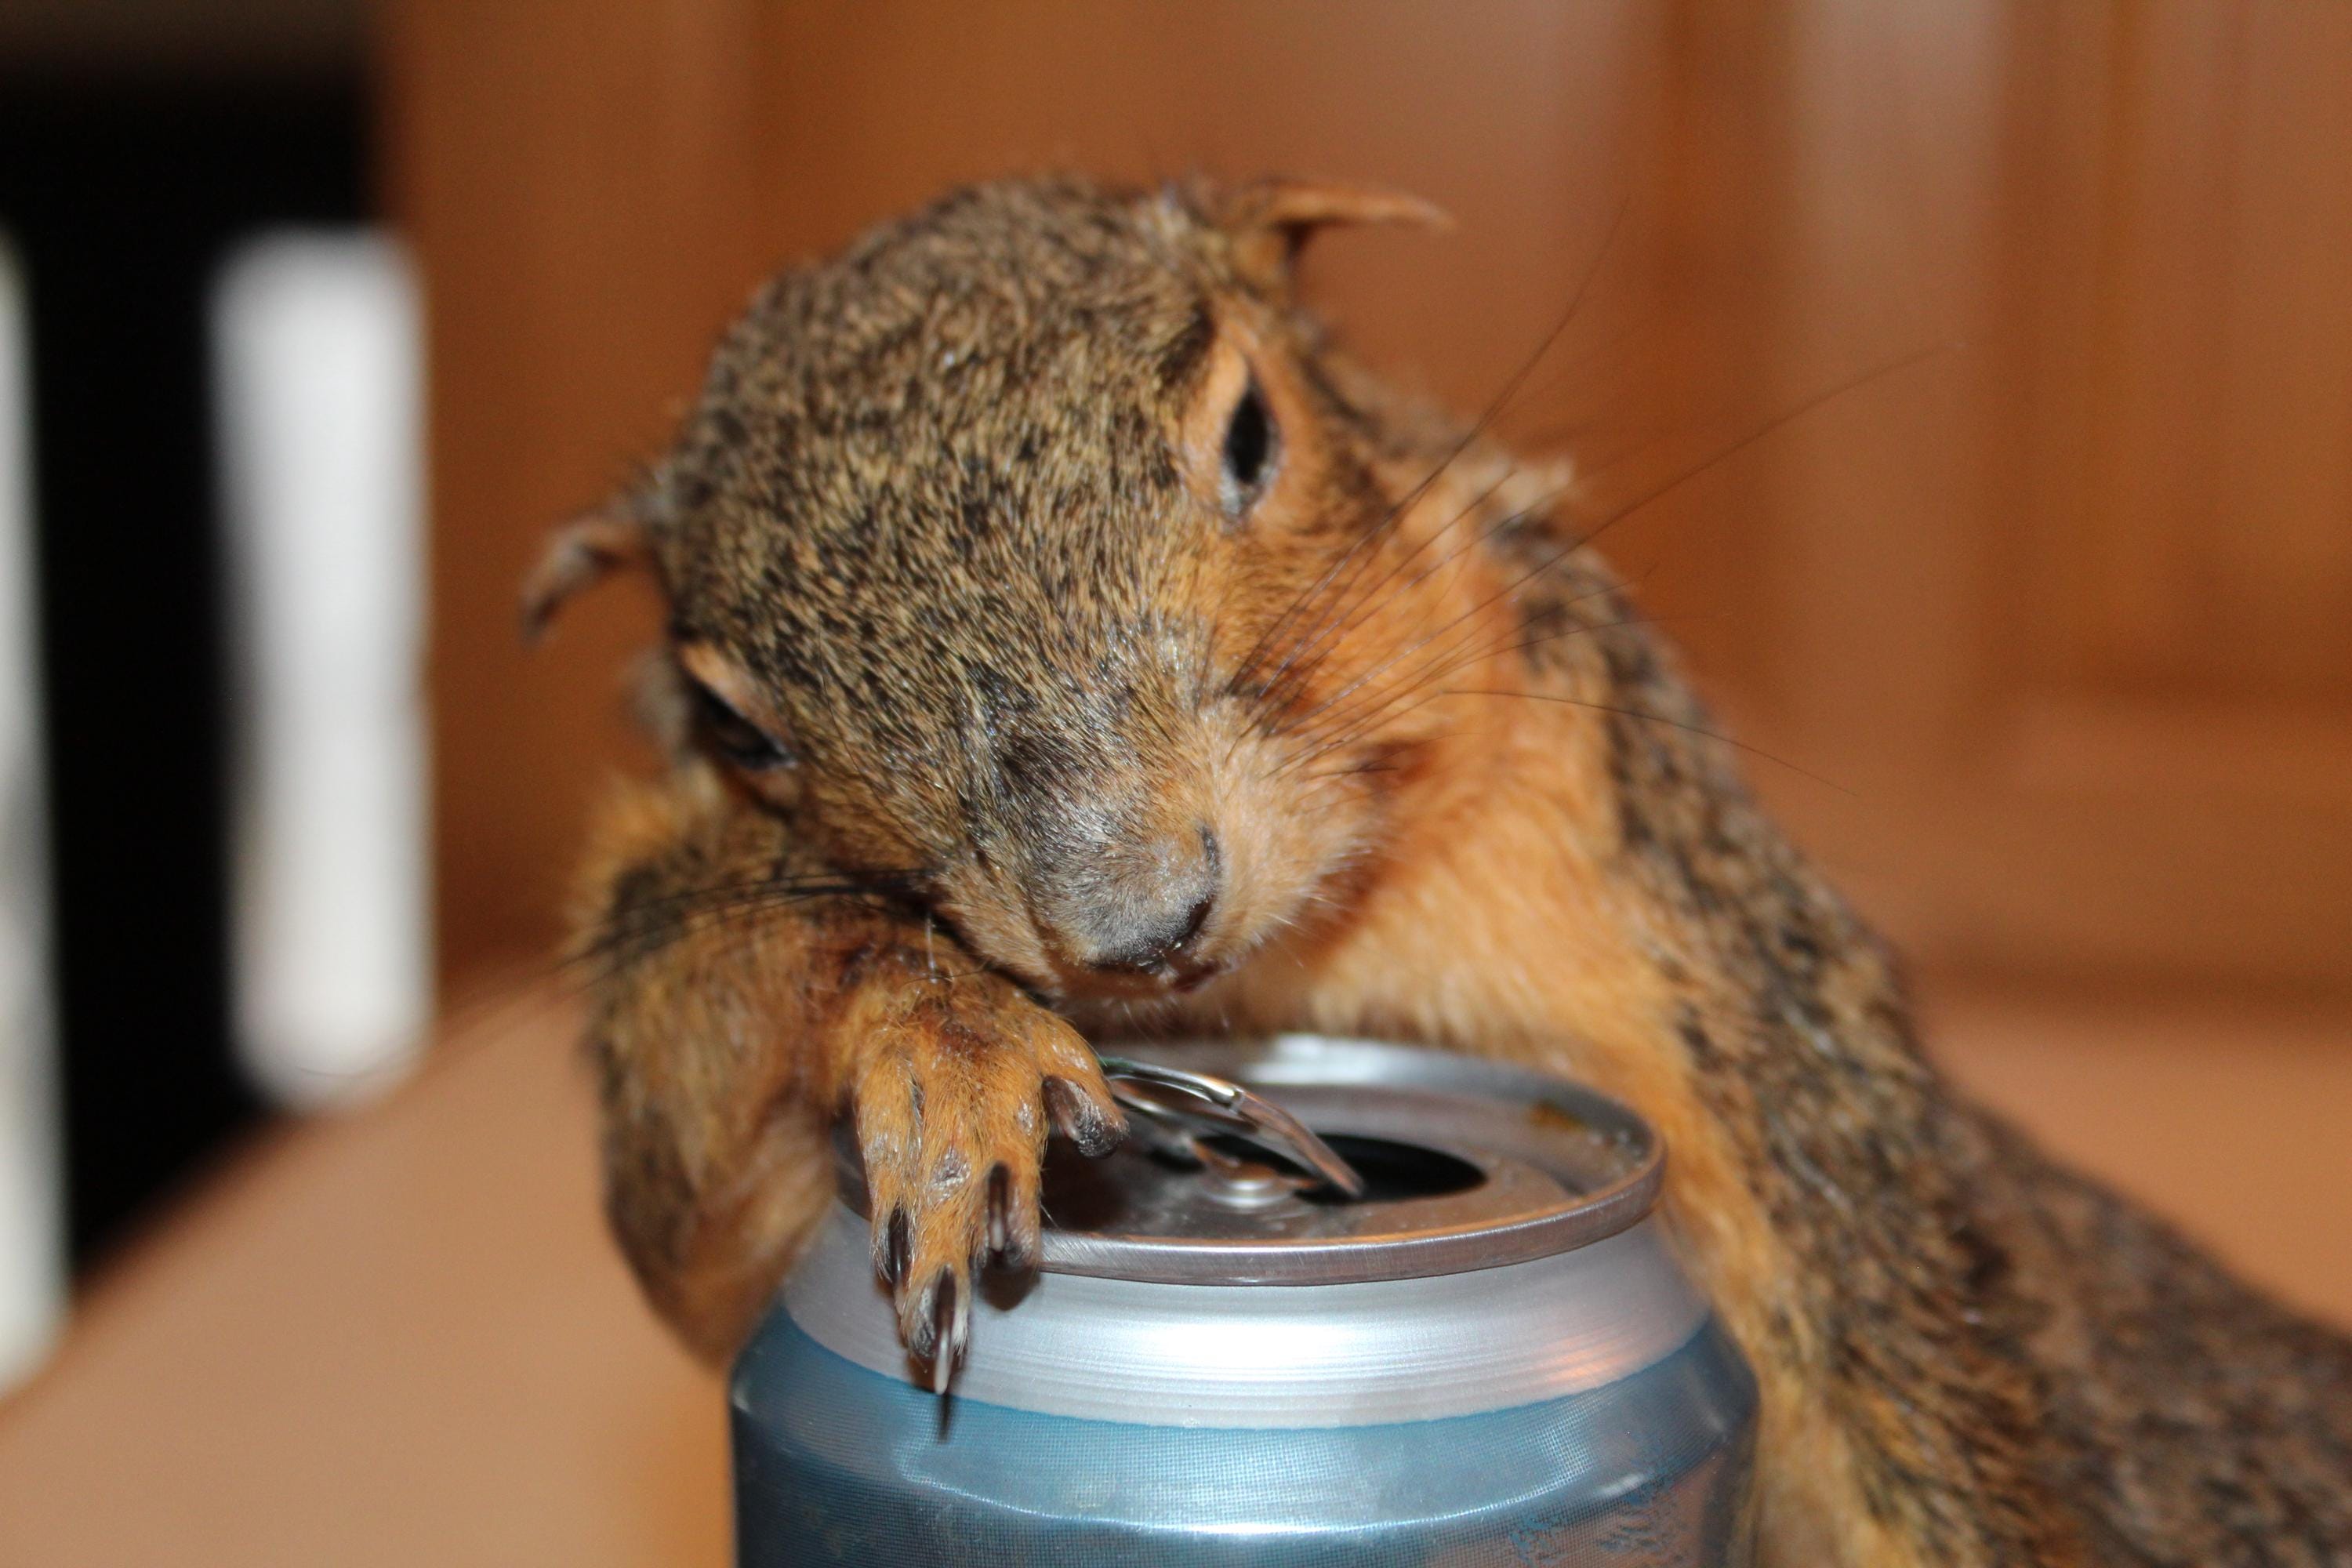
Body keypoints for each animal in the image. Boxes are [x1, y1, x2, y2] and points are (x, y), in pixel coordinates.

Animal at [525, 175, 2352, 1566]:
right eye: (732, 724)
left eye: (1253, 435)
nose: (1139, 918)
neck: (1314, 963)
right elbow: (683, 1189)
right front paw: (946, 1051)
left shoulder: (1734, 1029)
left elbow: (1909, 1444)